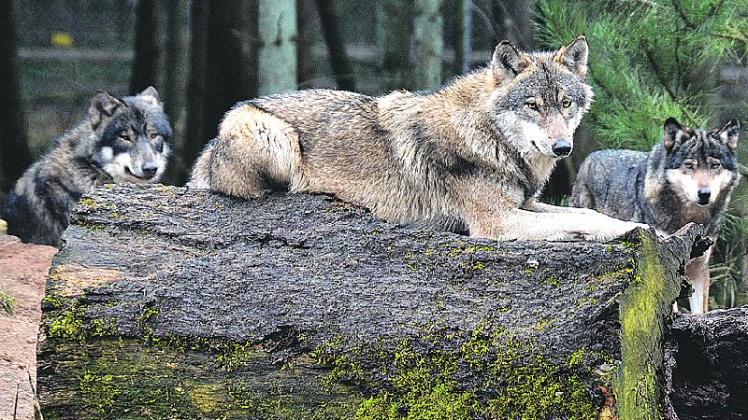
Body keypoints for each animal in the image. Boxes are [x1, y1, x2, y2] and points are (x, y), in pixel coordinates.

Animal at [190, 35, 645, 242]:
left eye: (565, 103)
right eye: (532, 106)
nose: (562, 148)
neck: (488, 138)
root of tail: (206, 152)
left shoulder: (526, 204)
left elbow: (585, 213)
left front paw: (638, 228)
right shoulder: (497, 222)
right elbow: (576, 219)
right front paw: (621, 232)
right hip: (276, 137)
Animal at [572, 117, 741, 313]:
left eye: (715, 165)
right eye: (689, 165)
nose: (705, 194)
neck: (690, 218)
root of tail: (590, 157)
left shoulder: (699, 268)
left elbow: (699, 312)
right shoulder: (665, 262)